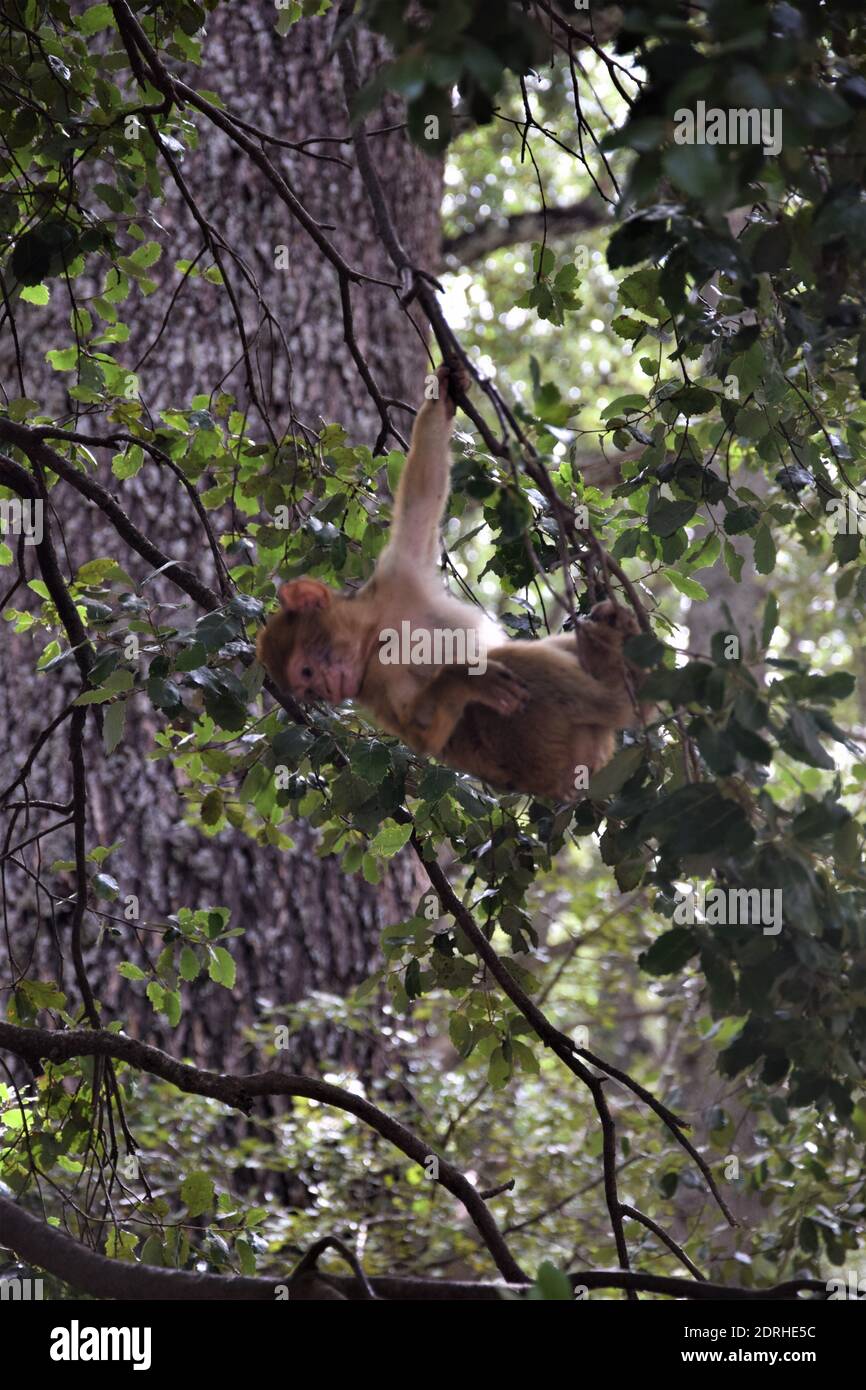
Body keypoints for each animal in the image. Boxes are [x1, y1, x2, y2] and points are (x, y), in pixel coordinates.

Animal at [257, 366, 643, 800]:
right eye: (309, 690)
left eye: (307, 675)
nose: (327, 691)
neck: (375, 631)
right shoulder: (374, 681)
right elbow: (424, 732)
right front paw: (461, 678)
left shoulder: (399, 574)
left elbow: (423, 493)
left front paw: (443, 392)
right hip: (541, 739)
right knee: (515, 668)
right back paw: (623, 697)